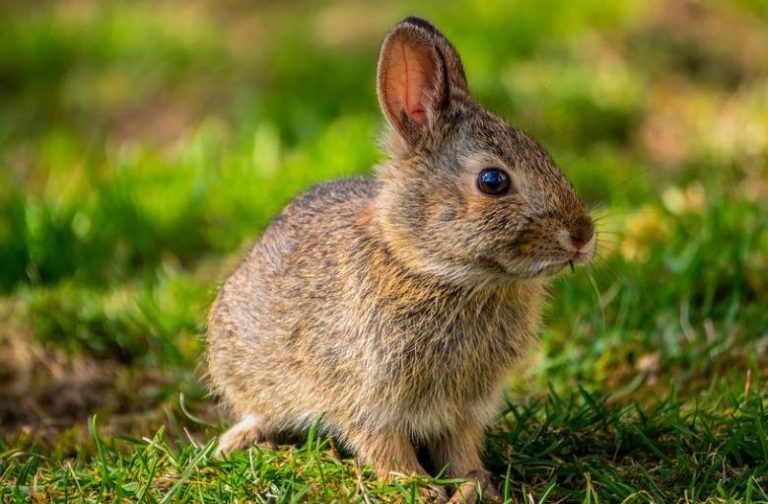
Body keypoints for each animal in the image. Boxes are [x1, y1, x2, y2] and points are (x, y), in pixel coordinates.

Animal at [207, 16, 596, 503]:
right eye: (493, 181)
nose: (583, 236)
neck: (433, 271)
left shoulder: (463, 407)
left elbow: (460, 447)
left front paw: (475, 485)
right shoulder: (367, 395)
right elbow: (382, 444)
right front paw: (416, 486)